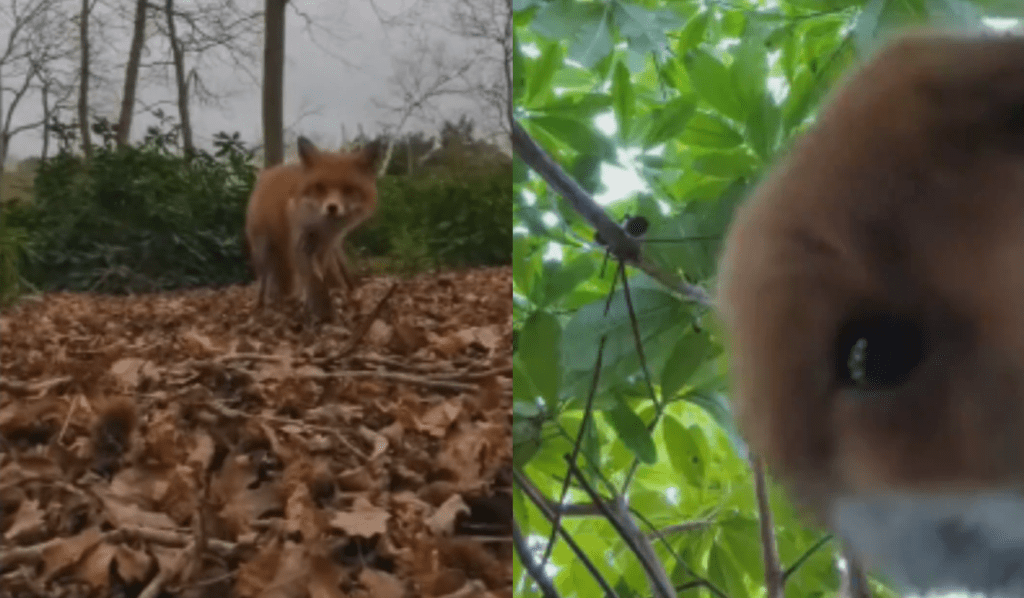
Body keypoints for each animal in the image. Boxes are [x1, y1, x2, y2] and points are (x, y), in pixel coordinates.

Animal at [245, 136, 380, 323]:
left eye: (348, 189)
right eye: (320, 187)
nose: (332, 208)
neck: (322, 229)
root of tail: (271, 170)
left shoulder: (325, 247)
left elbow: (319, 278)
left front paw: (316, 308)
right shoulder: (301, 242)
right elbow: (314, 282)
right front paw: (324, 313)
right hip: (262, 251)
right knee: (263, 281)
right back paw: (262, 305)